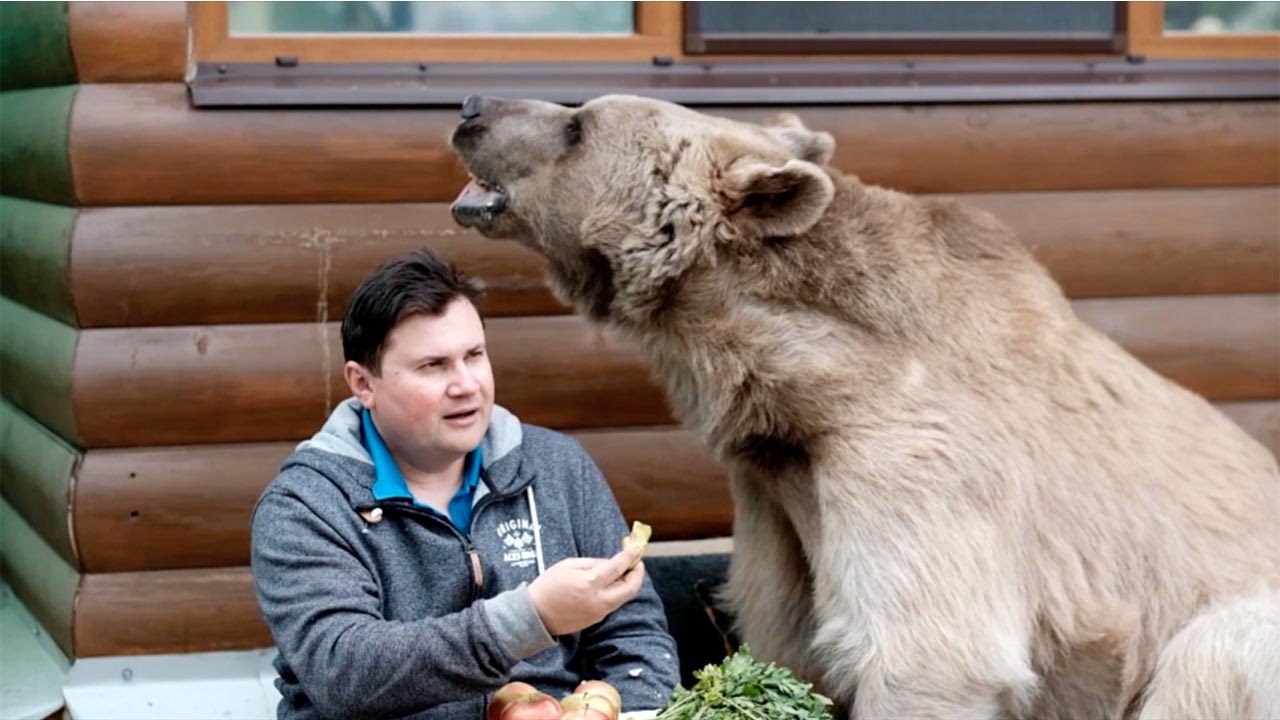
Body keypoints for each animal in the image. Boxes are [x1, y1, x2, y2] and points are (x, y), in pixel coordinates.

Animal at [449, 94, 1280, 719]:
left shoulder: (913, 454)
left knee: (1211, 656)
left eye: (578, 122)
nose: (471, 108)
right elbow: (785, 632)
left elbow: (928, 651)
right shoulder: (775, 489)